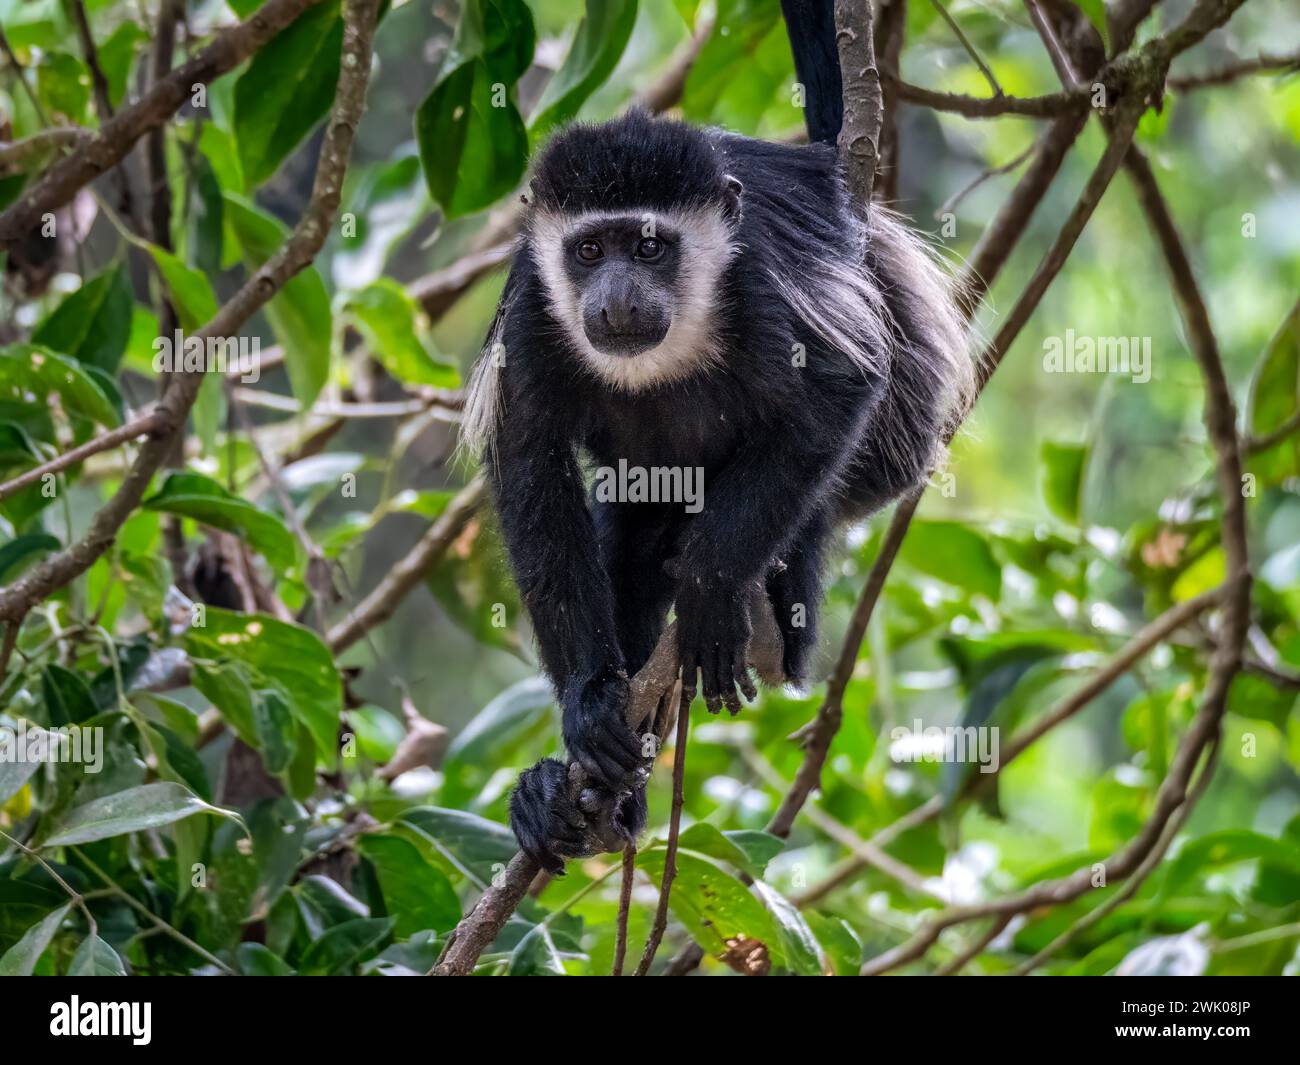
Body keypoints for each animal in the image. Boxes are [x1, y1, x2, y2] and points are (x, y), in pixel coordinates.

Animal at [462, 0, 973, 874]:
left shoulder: (761, 279)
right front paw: (590, 704)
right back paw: (591, 798)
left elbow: (836, 389)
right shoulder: (533, 308)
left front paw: (709, 589)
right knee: (629, 537)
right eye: (590, 249)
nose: (617, 297)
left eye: (651, 245)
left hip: (903, 425)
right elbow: (532, 470)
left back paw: (771, 602)